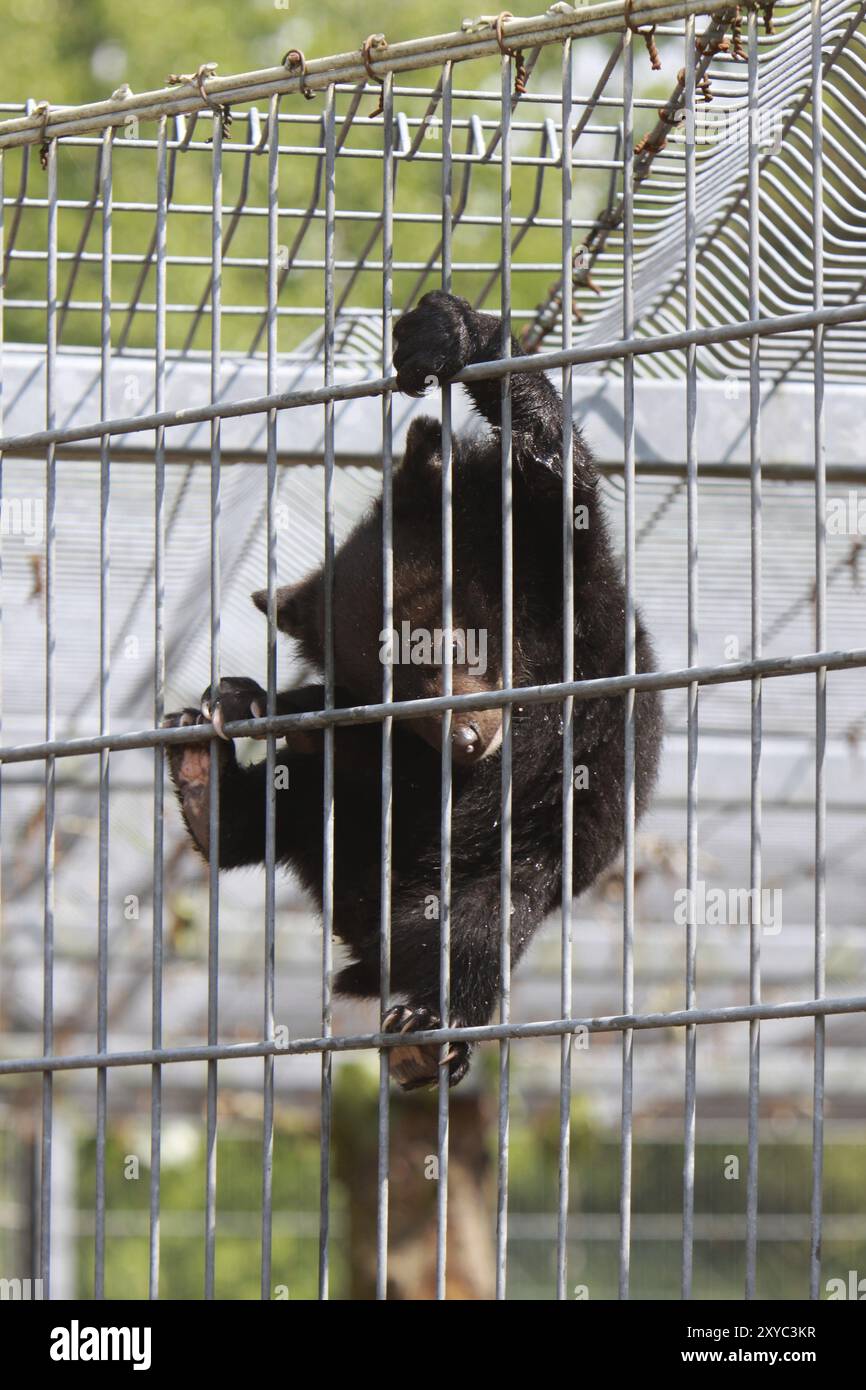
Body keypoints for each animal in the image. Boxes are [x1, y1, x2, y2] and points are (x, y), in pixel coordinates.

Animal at [163, 290, 663, 1090]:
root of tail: (367, 936)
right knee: (281, 807)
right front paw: (259, 699)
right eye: (381, 686)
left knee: (479, 928)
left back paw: (429, 1029)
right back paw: (206, 770)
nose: (465, 736)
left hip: (513, 864)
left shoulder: (578, 604)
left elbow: (559, 476)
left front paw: (444, 334)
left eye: (441, 637)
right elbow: (345, 734)